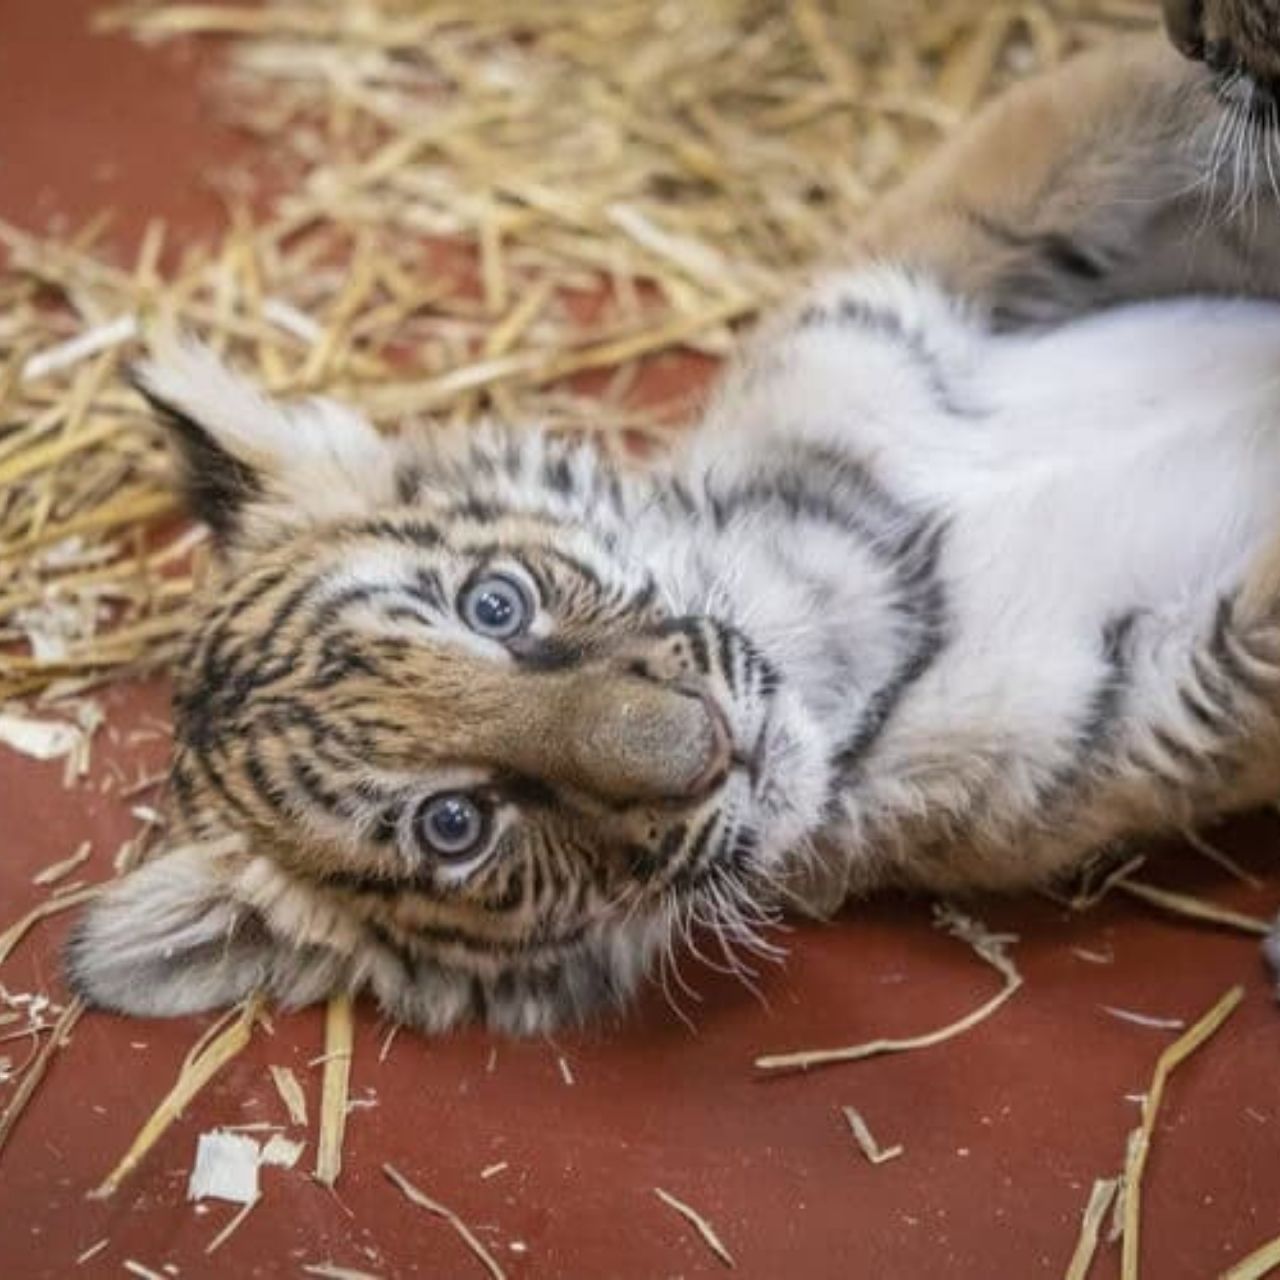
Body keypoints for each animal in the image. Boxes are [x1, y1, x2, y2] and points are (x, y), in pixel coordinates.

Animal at [68, 32, 1280, 1034]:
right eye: (455, 825)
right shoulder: (1164, 706)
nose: (708, 745)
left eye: (495, 603)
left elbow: (1108, 103)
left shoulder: (924, 265)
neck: (840, 597)